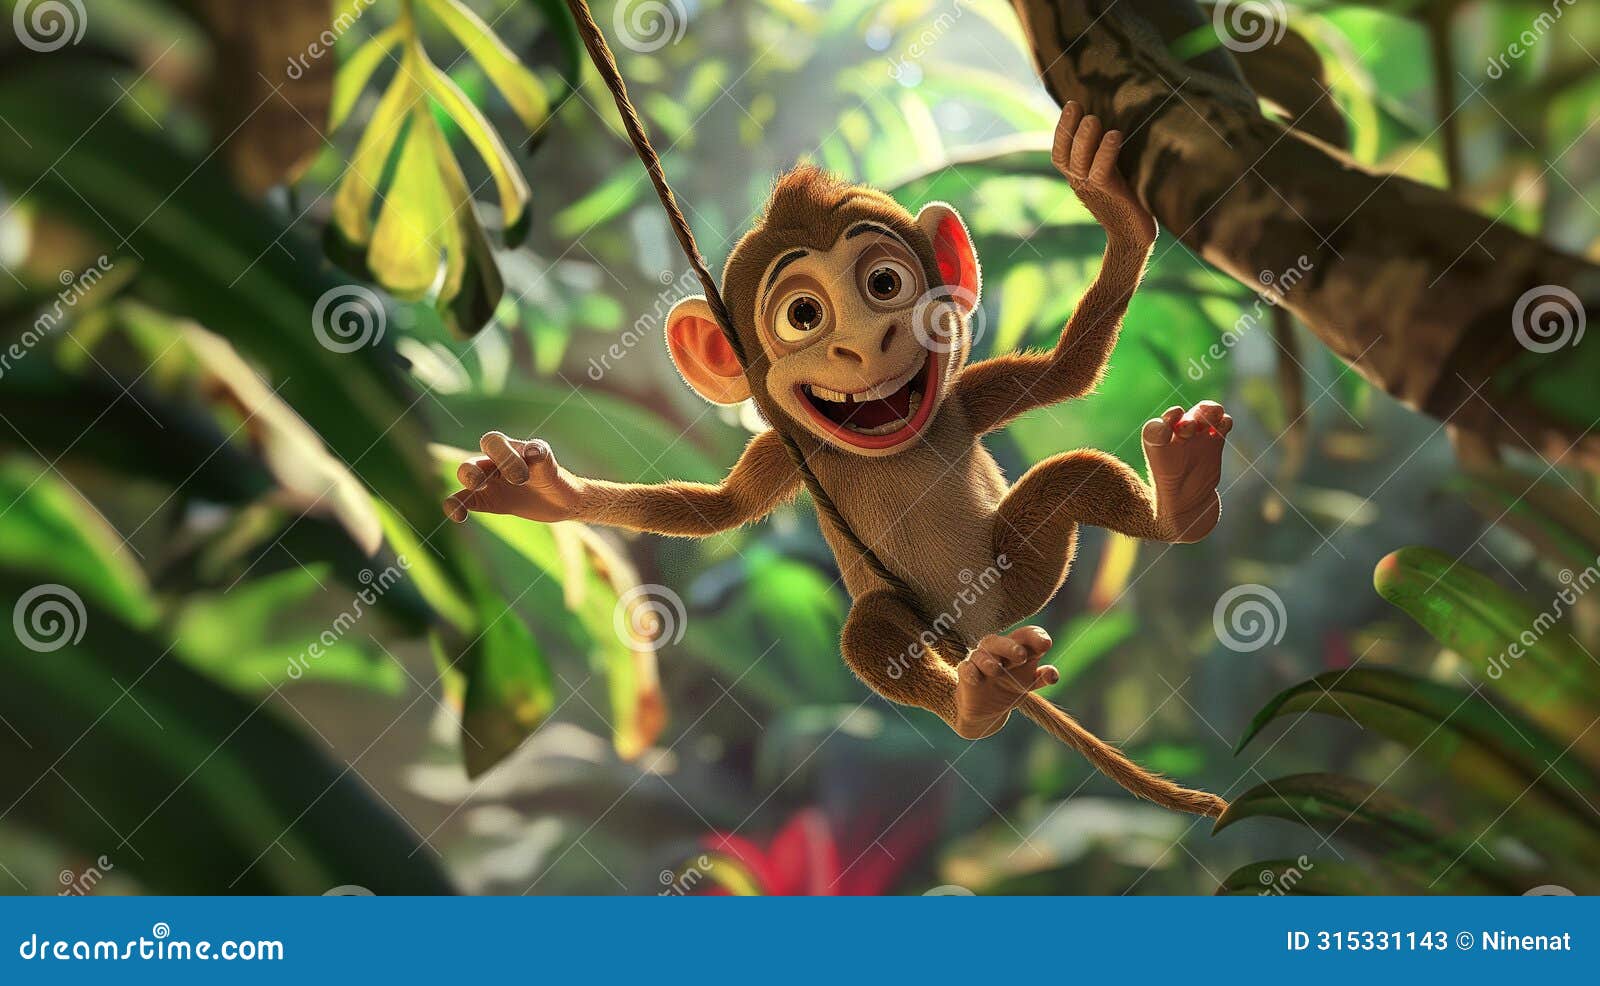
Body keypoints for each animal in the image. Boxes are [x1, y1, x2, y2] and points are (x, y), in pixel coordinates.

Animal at [444, 102, 1233, 816]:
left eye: (885, 283)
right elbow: (719, 513)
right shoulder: (786, 452)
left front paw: (1117, 212)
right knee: (871, 632)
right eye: (804, 316)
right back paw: (976, 704)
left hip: (1023, 577)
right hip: (939, 620)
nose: (866, 343)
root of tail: (980, 632)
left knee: (1074, 479)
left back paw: (1183, 501)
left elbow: (1068, 374)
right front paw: (539, 493)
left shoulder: (961, 398)